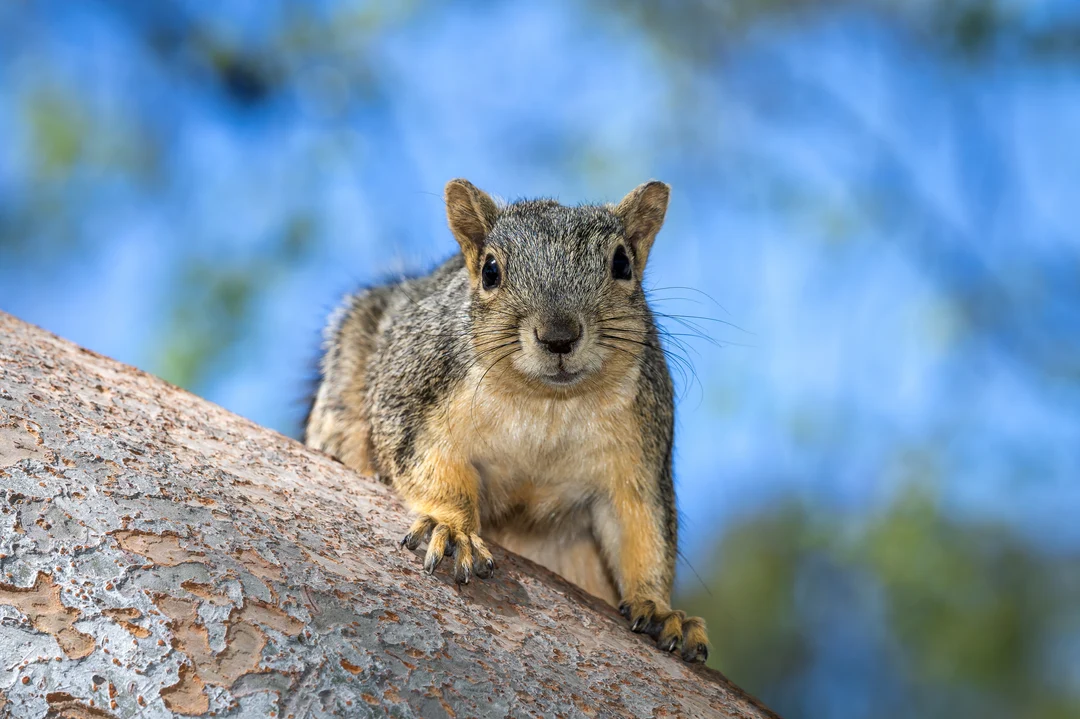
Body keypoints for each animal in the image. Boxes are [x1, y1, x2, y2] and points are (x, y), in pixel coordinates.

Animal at [305, 179, 709, 663]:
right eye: (491, 270)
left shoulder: (641, 450)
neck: (547, 402)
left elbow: (643, 527)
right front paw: (452, 527)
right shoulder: (414, 393)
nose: (559, 337)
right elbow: (429, 465)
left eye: (622, 263)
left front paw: (660, 608)